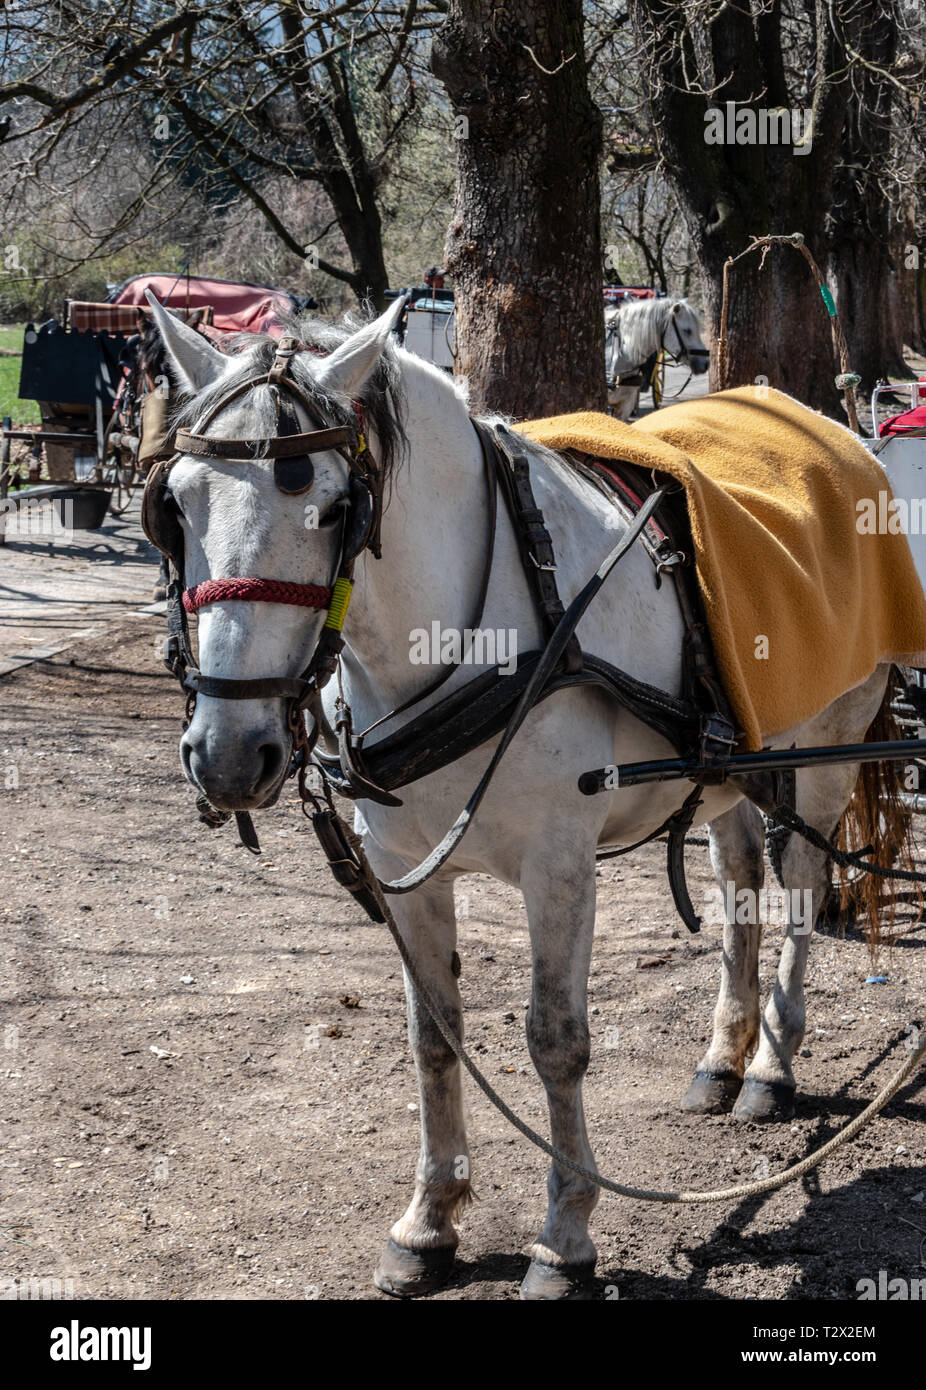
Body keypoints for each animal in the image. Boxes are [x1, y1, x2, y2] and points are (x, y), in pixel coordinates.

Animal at [145, 293, 905, 1301]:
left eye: (335, 507)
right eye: (175, 505)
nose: (231, 753)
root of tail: (827, 426)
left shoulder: (559, 862)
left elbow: (556, 1040)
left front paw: (564, 1238)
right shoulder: (403, 868)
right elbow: (433, 1036)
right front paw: (429, 1222)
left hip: (829, 745)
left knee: (803, 893)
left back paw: (773, 1067)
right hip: (730, 760)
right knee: (742, 879)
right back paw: (722, 1056)